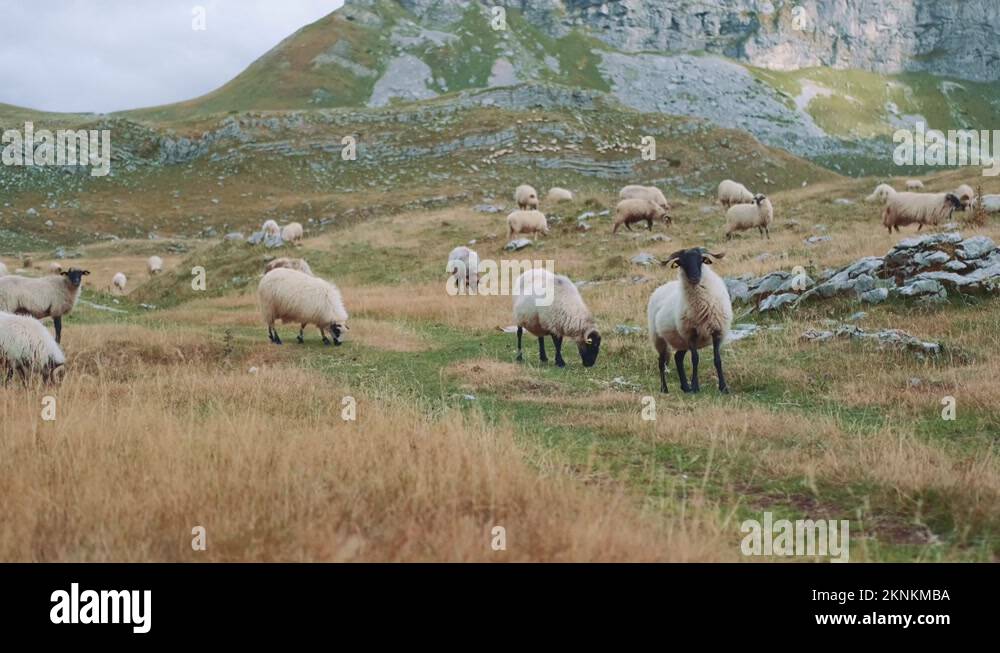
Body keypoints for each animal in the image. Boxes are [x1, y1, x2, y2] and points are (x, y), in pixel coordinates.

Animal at [647, 248, 732, 394]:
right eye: (682, 263)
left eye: (701, 260)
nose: (694, 278)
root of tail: (660, 288)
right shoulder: (691, 333)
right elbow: (695, 359)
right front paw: (696, 387)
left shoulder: (717, 331)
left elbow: (717, 360)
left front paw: (723, 387)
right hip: (659, 337)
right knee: (661, 362)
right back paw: (664, 388)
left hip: (681, 340)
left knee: (678, 358)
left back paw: (685, 387)